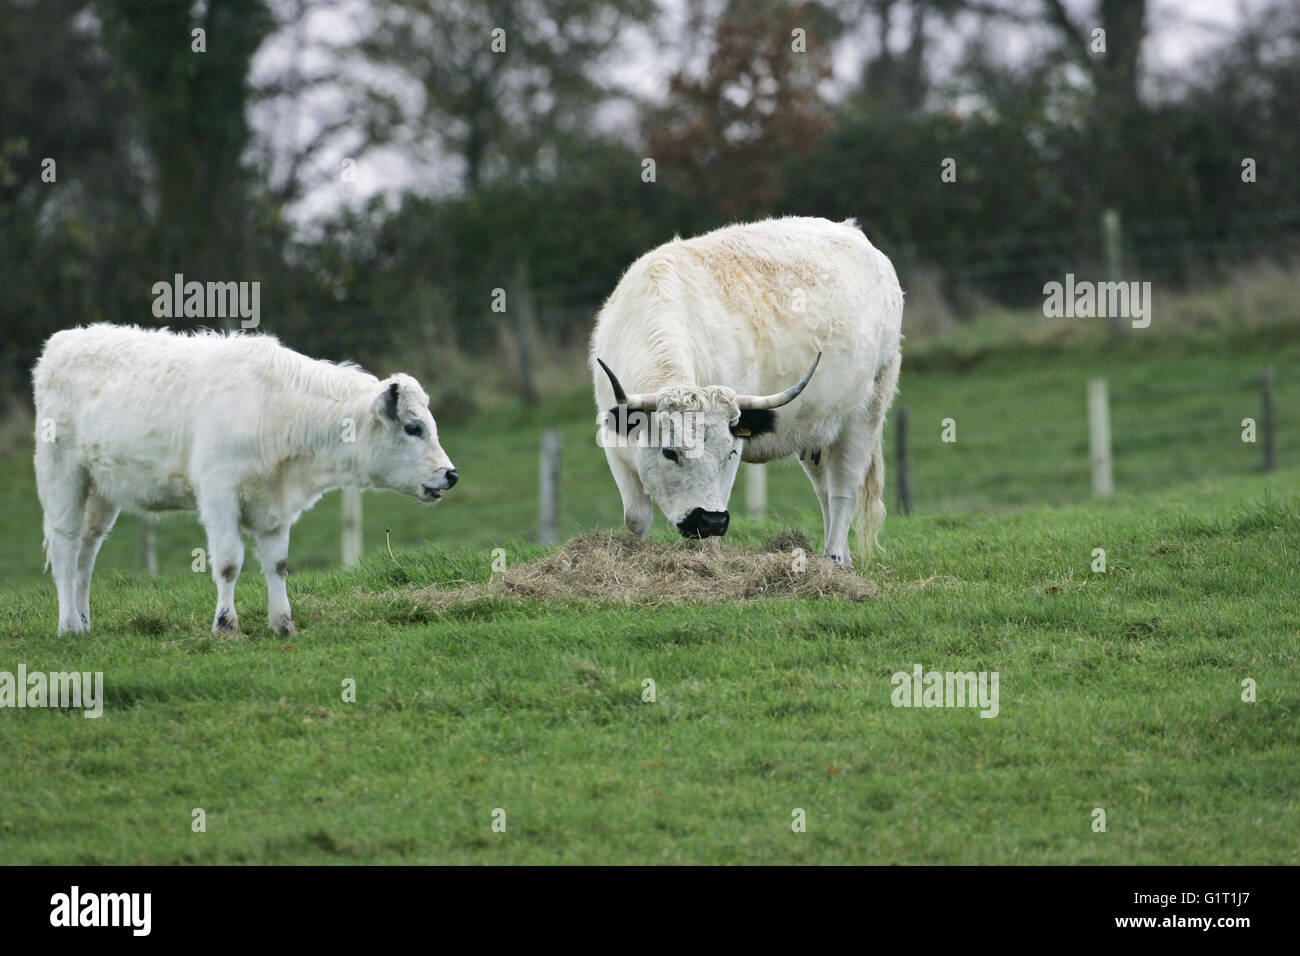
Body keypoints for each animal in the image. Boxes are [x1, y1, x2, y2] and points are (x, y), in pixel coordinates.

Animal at [32, 324, 458, 636]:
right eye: (413, 427)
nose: (451, 474)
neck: (275, 407)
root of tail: (64, 339)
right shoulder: (219, 496)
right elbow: (228, 563)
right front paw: (226, 626)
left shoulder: (276, 507)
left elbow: (278, 564)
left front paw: (283, 624)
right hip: (62, 475)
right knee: (66, 545)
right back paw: (69, 626)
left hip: (102, 492)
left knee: (86, 554)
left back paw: (84, 621)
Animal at [590, 216, 903, 568]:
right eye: (670, 452)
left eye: (728, 453)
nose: (711, 520)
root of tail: (857, 236)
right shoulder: (614, 446)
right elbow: (635, 518)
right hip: (817, 434)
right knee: (825, 492)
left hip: (865, 414)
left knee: (842, 492)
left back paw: (832, 559)